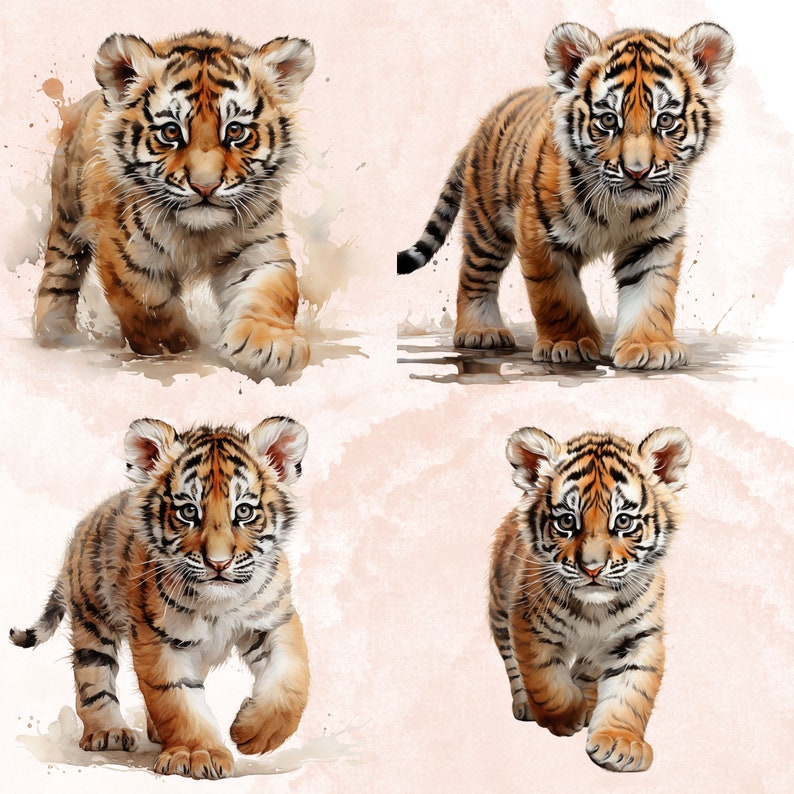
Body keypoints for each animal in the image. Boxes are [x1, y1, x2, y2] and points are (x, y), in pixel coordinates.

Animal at [10, 417, 310, 779]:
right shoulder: (160, 639)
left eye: (244, 511)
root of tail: (87, 521)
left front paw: (253, 733)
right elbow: (177, 699)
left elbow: (290, 679)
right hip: (93, 620)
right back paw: (108, 731)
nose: (219, 563)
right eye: (188, 512)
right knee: (92, 679)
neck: (218, 603)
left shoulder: (273, 619)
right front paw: (198, 754)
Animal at [34, 31, 316, 382]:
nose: (205, 186)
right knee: (59, 275)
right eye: (171, 131)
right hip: (67, 216)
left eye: (235, 130)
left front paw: (270, 343)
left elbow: (272, 290)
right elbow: (147, 307)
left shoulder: (258, 245)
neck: (200, 233)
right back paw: (52, 331)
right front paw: (178, 344)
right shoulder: (127, 255)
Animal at [398, 23, 733, 370]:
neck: (620, 208)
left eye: (665, 120)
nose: (636, 172)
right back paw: (480, 331)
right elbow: (557, 295)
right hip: (486, 226)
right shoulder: (539, 235)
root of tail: (482, 126)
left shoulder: (655, 241)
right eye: (608, 120)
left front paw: (650, 346)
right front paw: (568, 343)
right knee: (475, 275)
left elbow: (651, 295)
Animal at [489, 426, 691, 772]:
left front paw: (621, 744)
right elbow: (546, 682)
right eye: (567, 522)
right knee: (513, 666)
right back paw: (529, 704)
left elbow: (632, 692)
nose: (592, 568)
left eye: (623, 522)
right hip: (499, 610)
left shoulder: (638, 636)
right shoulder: (528, 624)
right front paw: (566, 716)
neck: (596, 610)